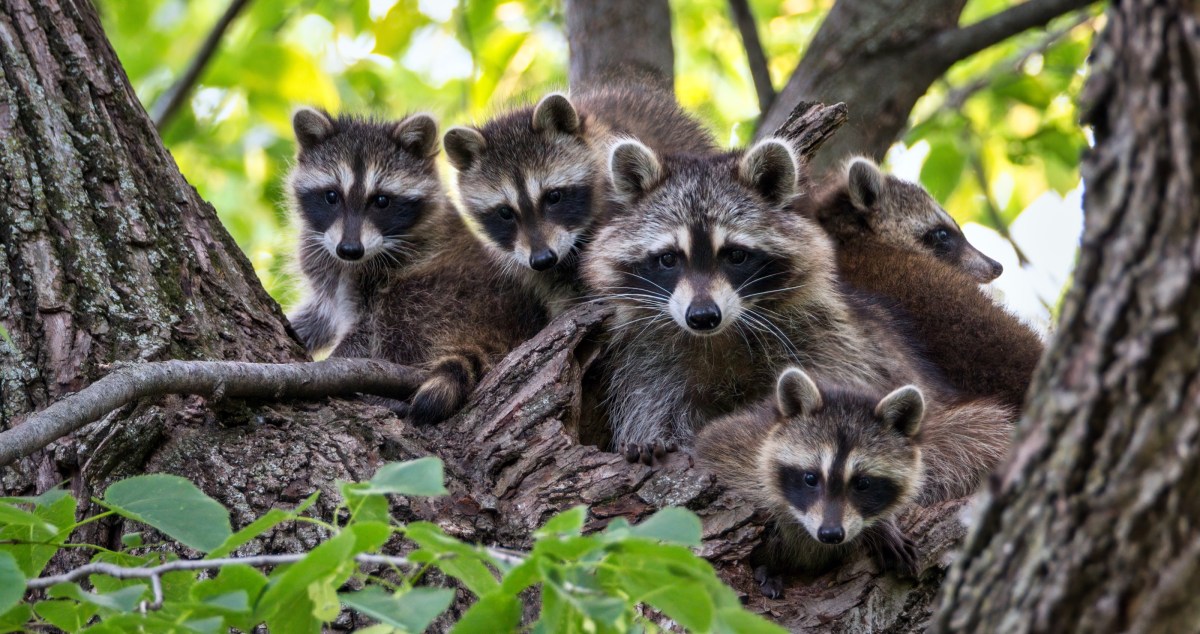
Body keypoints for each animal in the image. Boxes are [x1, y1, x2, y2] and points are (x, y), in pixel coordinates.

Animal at [583, 138, 937, 462]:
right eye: (669, 259)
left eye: (736, 255)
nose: (702, 316)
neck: (717, 337)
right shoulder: (646, 357)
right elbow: (652, 405)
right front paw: (655, 438)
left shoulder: (825, 338)